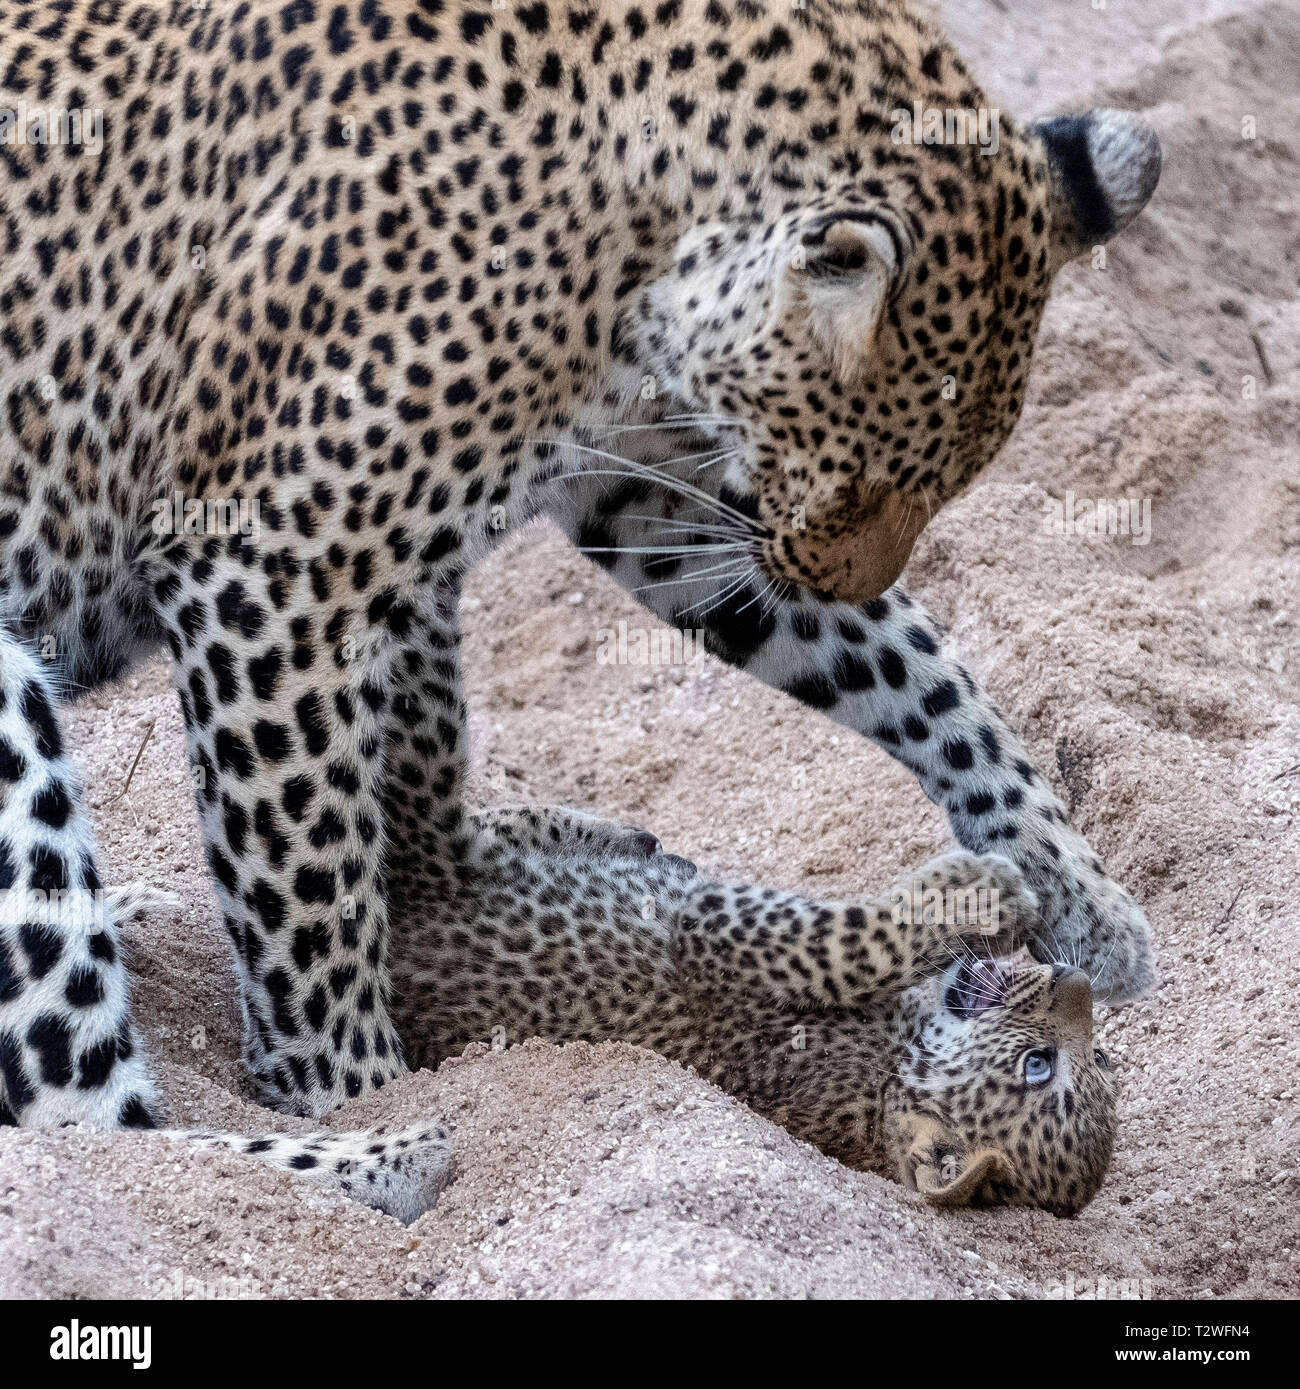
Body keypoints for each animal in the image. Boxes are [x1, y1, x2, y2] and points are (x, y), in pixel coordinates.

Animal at [0, 0, 1160, 1158]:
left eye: (946, 486)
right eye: (865, 477)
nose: (833, 577)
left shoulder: (664, 499)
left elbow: (922, 679)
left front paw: (1080, 901)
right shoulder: (271, 566)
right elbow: (305, 885)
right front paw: (352, 1083)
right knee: (77, 1113)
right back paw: (375, 1154)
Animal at [171, 809, 1115, 1221]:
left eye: (1043, 1066)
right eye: (1079, 1062)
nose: (1079, 984)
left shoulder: (729, 938)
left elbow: (842, 929)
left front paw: (979, 887)